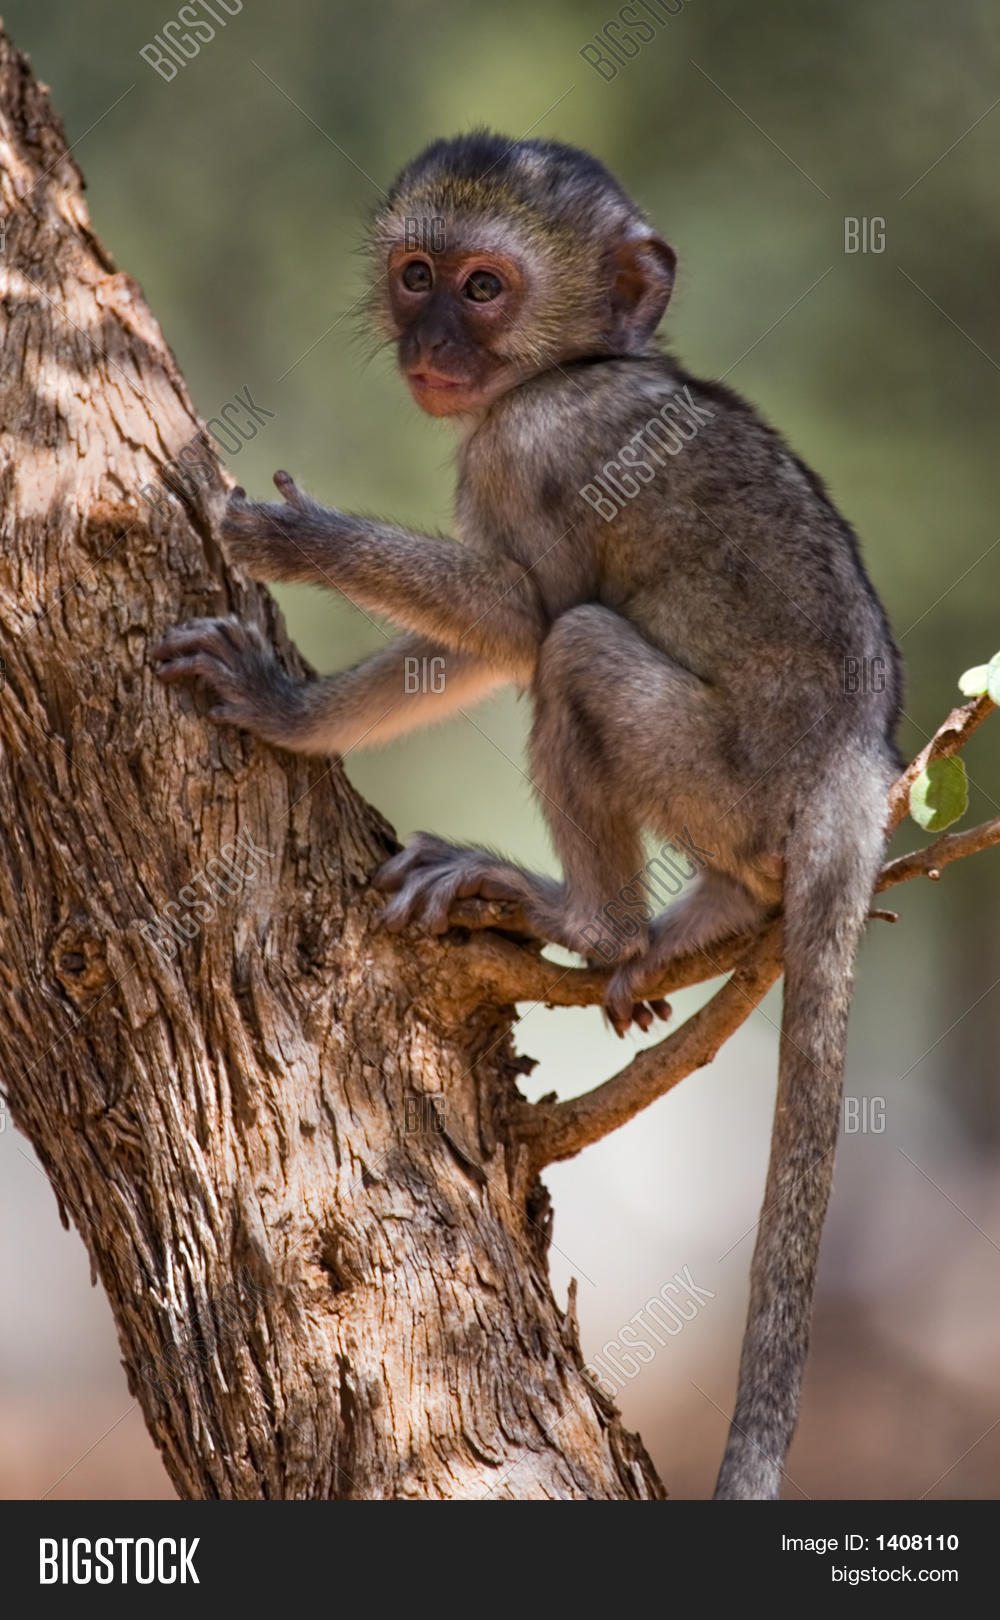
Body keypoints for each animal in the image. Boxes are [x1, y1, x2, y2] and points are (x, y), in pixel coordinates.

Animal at [153, 131, 902, 1500]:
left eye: (483, 289)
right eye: (415, 276)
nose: (431, 342)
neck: (581, 364)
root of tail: (849, 771)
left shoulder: (531, 442)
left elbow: (518, 618)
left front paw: (299, 553)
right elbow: (495, 633)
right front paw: (293, 710)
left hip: (723, 774)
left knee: (577, 648)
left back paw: (596, 923)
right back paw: (705, 918)